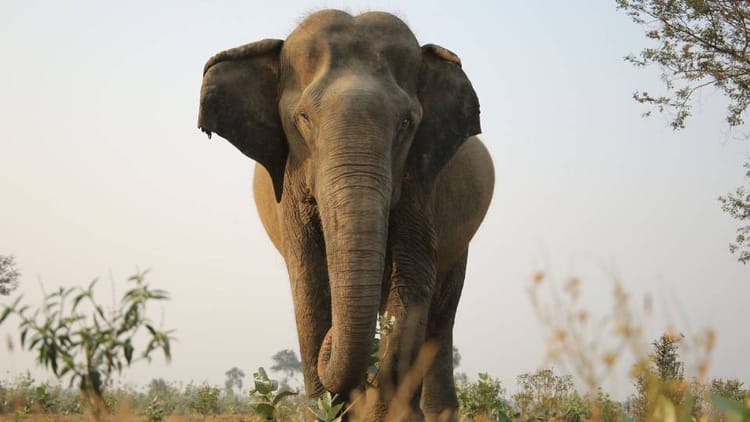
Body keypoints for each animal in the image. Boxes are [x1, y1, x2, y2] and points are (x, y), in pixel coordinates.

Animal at [198, 9, 494, 421]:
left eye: (406, 123)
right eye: (304, 118)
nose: (334, 338)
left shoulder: (420, 180)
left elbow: (412, 277)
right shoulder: (291, 179)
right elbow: (308, 279)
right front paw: (328, 410)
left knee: (440, 315)